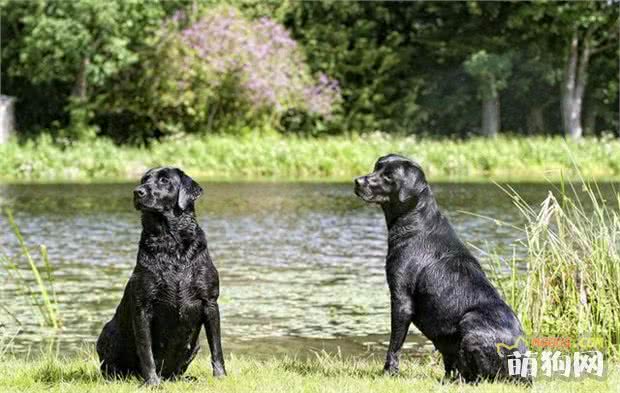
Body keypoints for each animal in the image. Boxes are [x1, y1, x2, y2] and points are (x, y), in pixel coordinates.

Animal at [95, 167, 224, 384]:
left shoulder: (210, 303)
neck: (171, 244)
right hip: (107, 332)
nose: (137, 191)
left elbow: (217, 347)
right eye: (144, 180)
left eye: (164, 180)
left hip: (195, 345)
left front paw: (221, 377)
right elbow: (146, 351)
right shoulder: (142, 307)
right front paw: (152, 383)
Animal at [356, 155, 532, 382]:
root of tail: (524, 370)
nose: (357, 181)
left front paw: (388, 372)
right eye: (376, 167)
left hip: (470, 322)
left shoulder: (401, 300)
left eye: (388, 177)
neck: (415, 223)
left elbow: (394, 345)